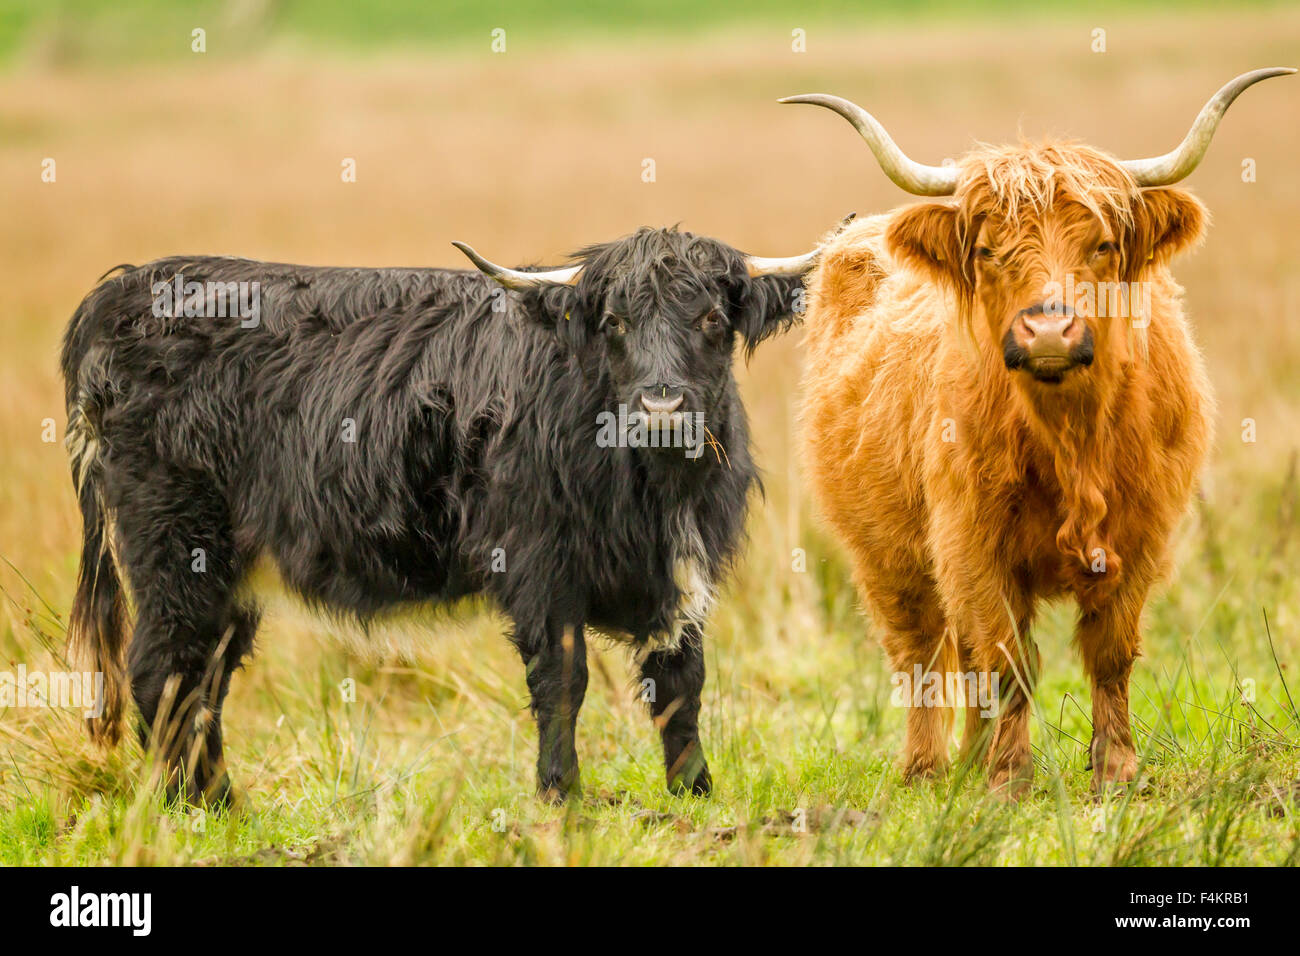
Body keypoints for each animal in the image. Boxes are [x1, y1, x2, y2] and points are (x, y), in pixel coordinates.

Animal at [61, 226, 817, 805]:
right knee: (161, 671)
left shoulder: (687, 576)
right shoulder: (540, 568)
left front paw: (695, 792)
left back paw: (217, 803)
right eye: (615, 323)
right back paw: (188, 809)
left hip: (226, 572)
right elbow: (562, 682)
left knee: (204, 679)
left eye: (712, 321)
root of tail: (120, 292)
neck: (657, 485)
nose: (663, 408)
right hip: (174, 546)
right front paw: (561, 797)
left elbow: (682, 684)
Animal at [790, 68, 1292, 795]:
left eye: (1103, 245)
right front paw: (1010, 777)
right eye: (989, 251)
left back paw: (968, 761)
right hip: (886, 553)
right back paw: (927, 769)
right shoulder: (971, 537)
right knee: (923, 650)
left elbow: (1109, 653)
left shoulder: (1143, 536)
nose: (1049, 331)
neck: (1072, 437)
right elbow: (1009, 659)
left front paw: (1114, 770)